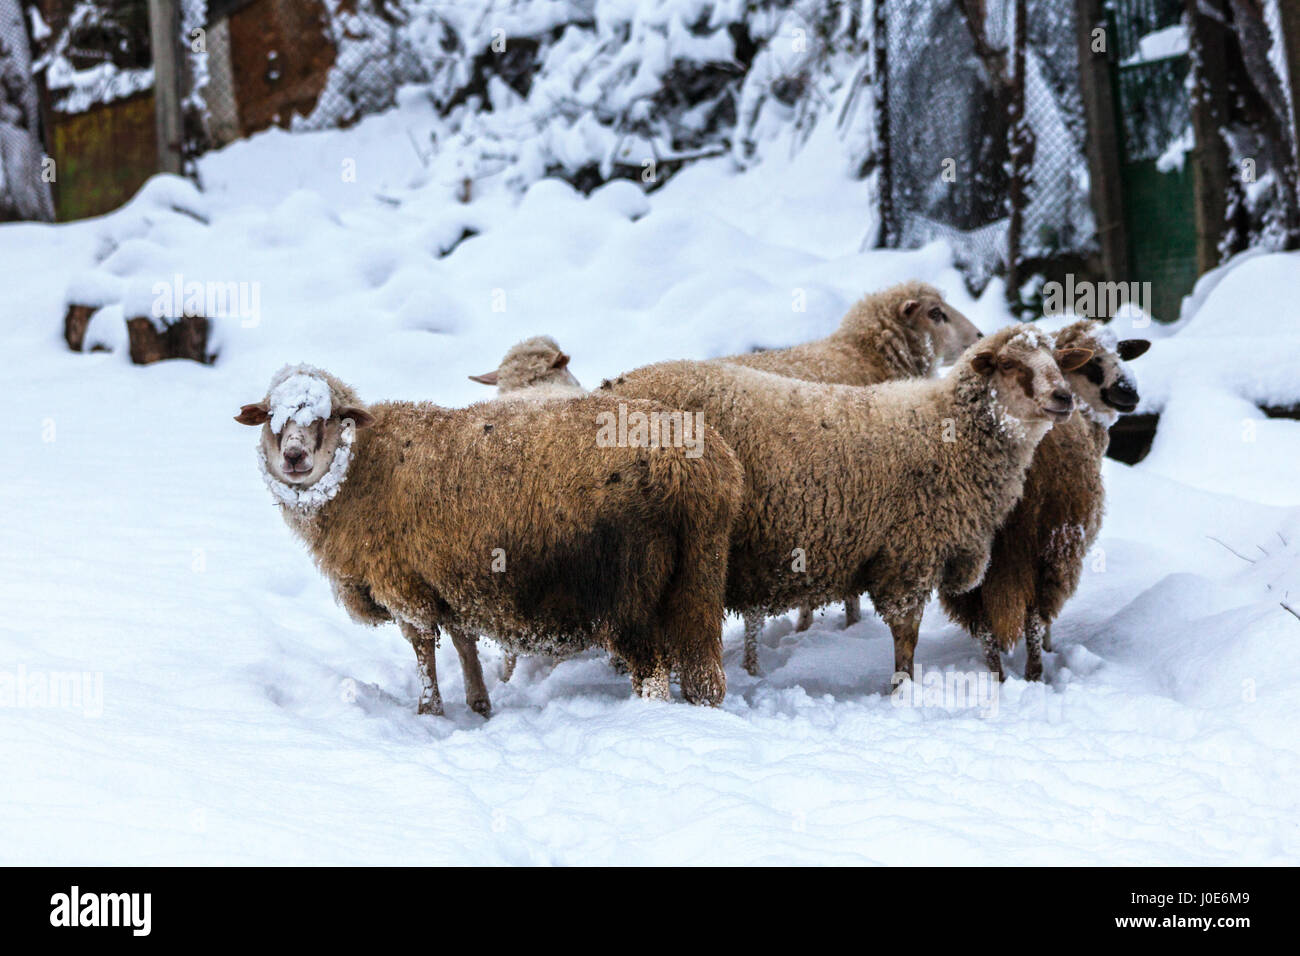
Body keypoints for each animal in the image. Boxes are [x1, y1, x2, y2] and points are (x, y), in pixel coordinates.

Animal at [236, 364, 743, 716]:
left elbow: (423, 650)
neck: (363, 467)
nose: (295, 457)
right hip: (701, 572)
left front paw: (430, 711)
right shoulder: (448, 580)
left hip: (630, 591)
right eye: (272, 418)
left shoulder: (404, 587)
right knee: (705, 677)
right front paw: (479, 703)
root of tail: (691, 467)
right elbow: (464, 643)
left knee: (653, 675)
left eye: (330, 417)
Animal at [603, 325, 1093, 682]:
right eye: (1009, 364)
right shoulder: (909, 554)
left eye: (1058, 363)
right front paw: (902, 692)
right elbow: (906, 638)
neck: (950, 431)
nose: (1064, 398)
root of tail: (614, 386)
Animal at [941, 320, 1150, 680]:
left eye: (1121, 353)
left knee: (982, 622)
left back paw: (997, 677)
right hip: (1051, 542)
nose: (1129, 391)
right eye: (1092, 363)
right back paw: (1034, 672)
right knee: (1035, 617)